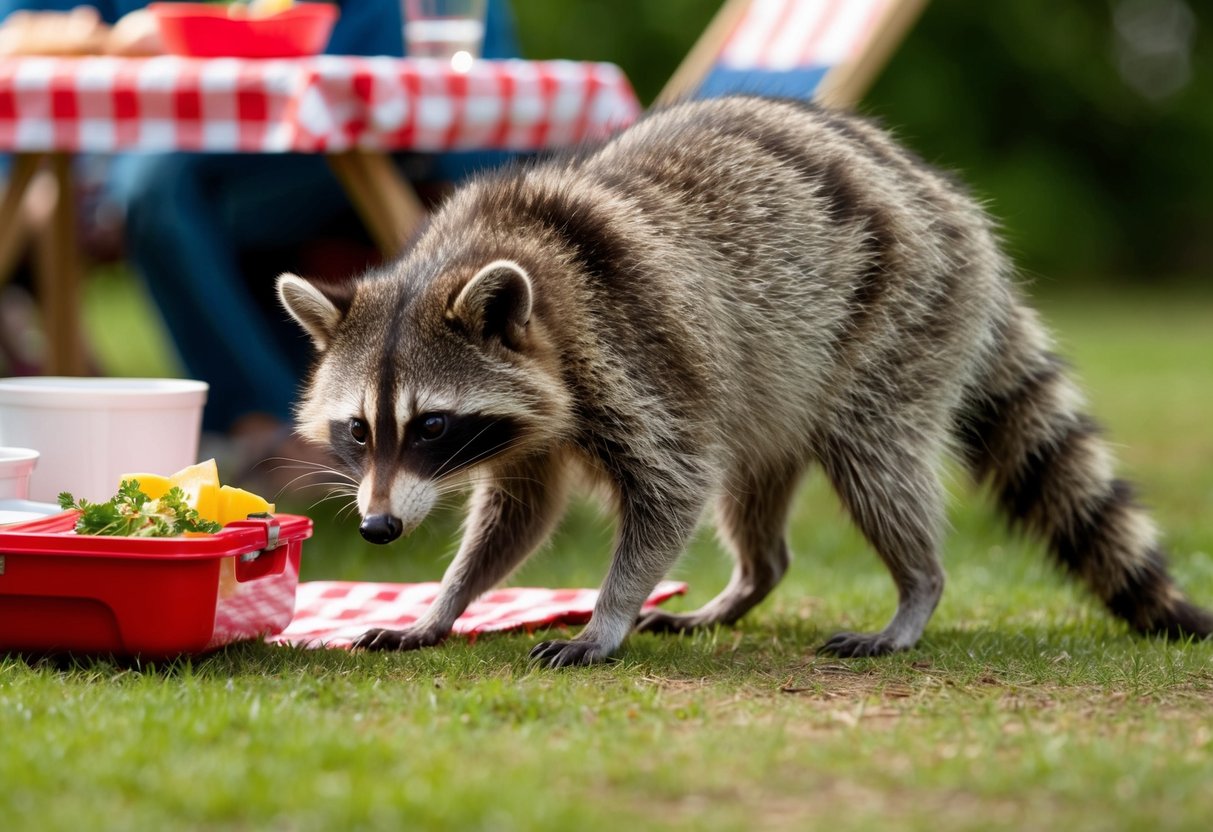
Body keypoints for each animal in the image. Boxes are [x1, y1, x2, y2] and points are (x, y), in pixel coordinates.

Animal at [278, 96, 1212, 667]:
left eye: (430, 425)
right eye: (358, 429)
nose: (378, 529)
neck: (480, 251)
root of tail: (943, 199)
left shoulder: (628, 357)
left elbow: (670, 488)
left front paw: (606, 613)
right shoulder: (532, 418)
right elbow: (518, 512)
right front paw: (445, 603)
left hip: (900, 314)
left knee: (876, 462)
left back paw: (917, 589)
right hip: (776, 384)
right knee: (757, 490)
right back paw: (749, 582)